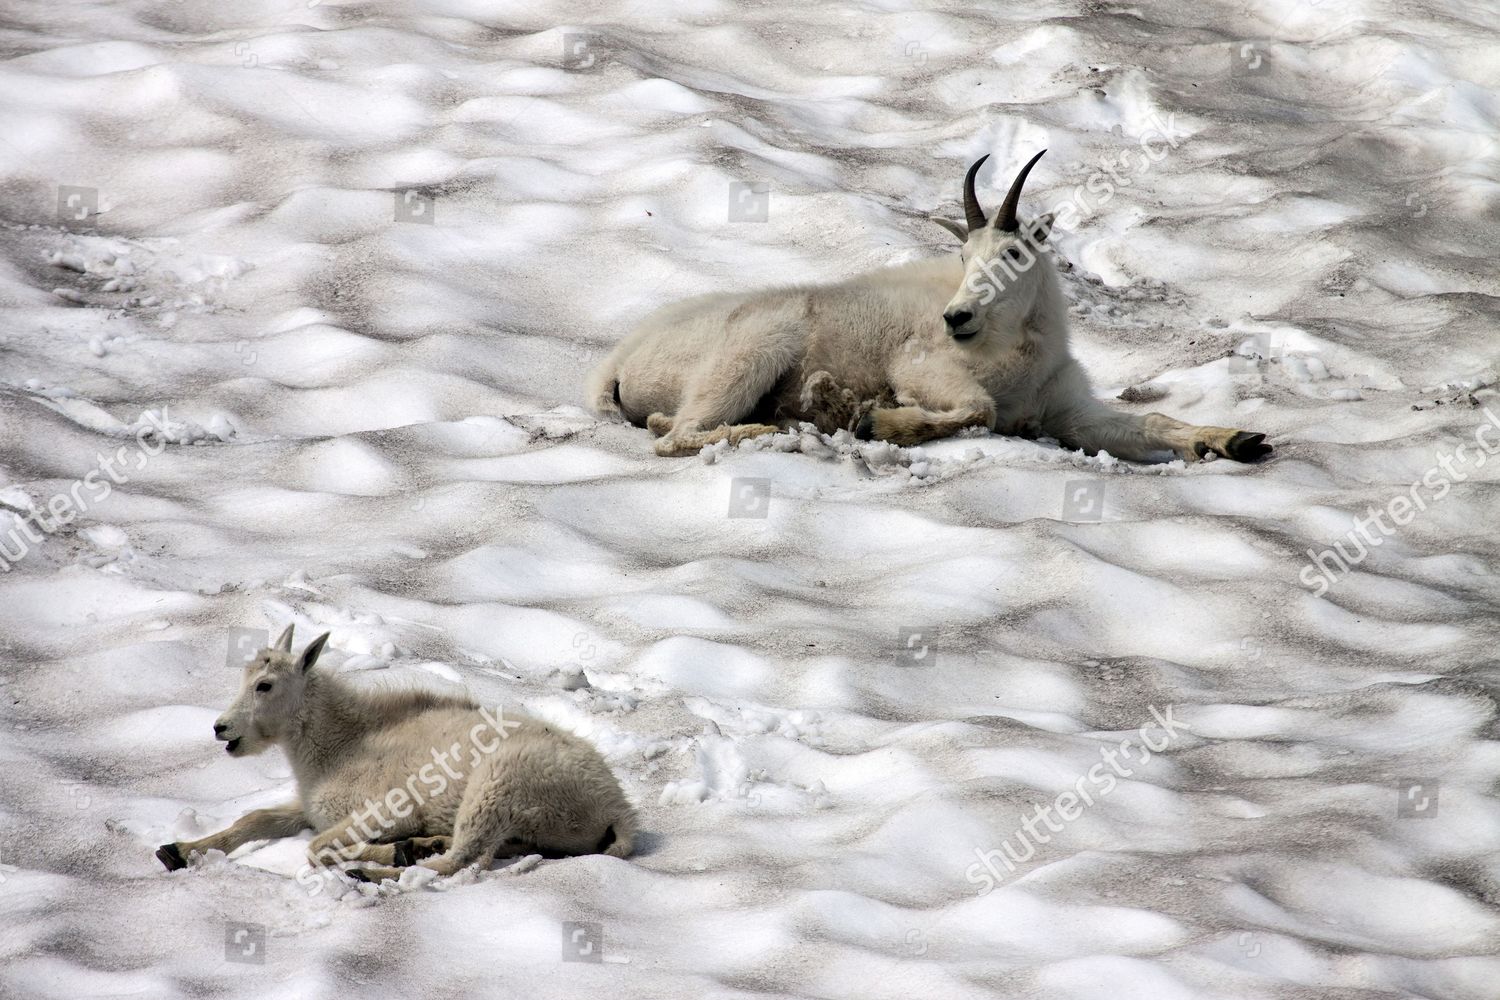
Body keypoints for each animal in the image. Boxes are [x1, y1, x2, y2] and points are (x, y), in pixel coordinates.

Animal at [155, 625, 635, 883]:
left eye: (265, 685)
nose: (221, 728)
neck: (337, 746)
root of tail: (618, 810)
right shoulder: (308, 807)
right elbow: (253, 819)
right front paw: (178, 850)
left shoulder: (386, 809)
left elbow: (316, 847)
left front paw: (385, 852)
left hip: (497, 786)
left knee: (462, 861)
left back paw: (384, 865)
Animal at [588, 151, 1272, 463]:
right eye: (964, 256)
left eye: (1014, 253)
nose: (956, 317)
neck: (1019, 353)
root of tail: (617, 364)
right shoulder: (920, 368)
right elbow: (977, 409)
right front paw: (875, 422)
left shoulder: (1067, 410)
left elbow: (1152, 424)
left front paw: (1239, 439)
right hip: (753, 348)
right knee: (677, 435)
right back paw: (783, 426)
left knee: (667, 428)